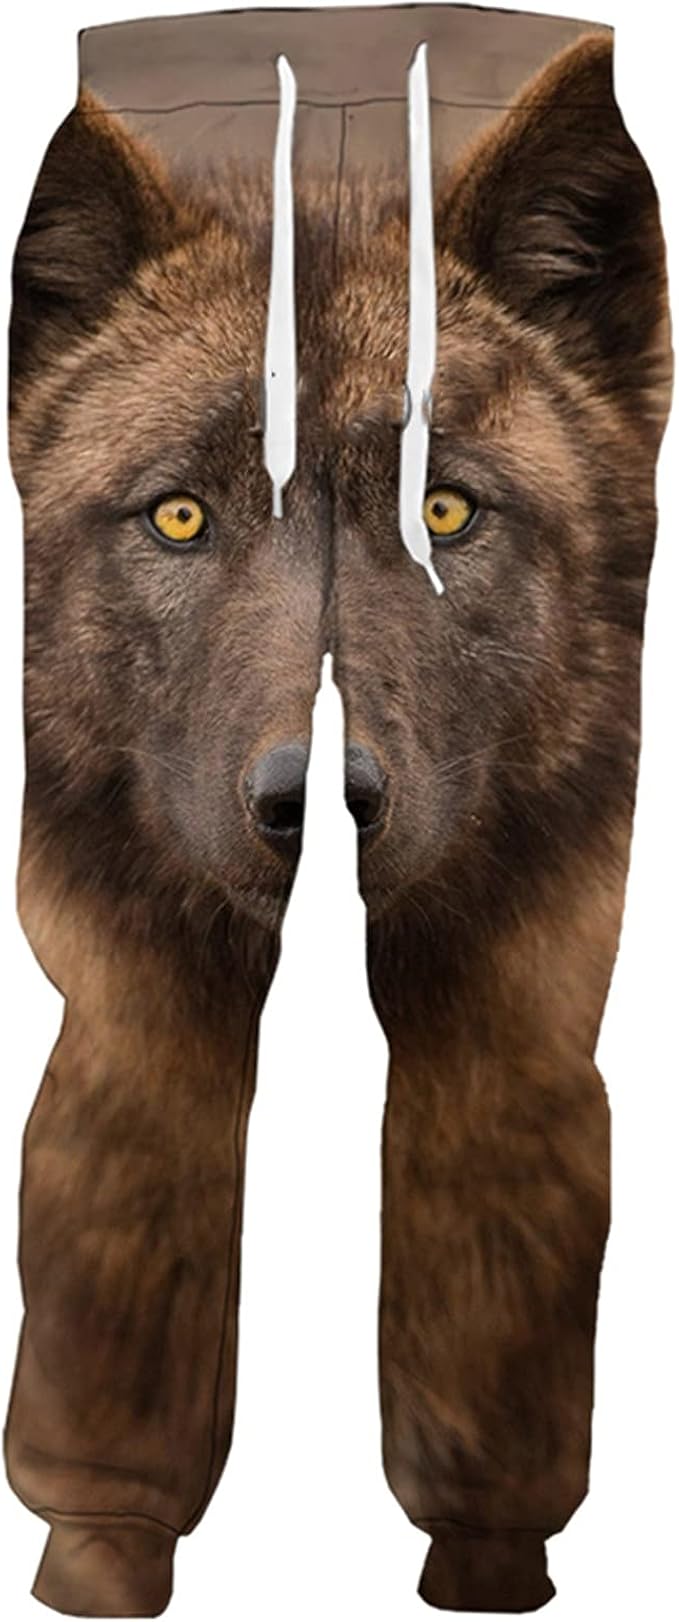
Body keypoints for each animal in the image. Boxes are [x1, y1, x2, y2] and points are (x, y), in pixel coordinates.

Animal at [5, 32, 672, 1616]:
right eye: (180, 517)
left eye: (445, 510)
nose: (314, 800)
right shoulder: (143, 1000)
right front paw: (102, 1549)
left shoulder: (497, 1003)